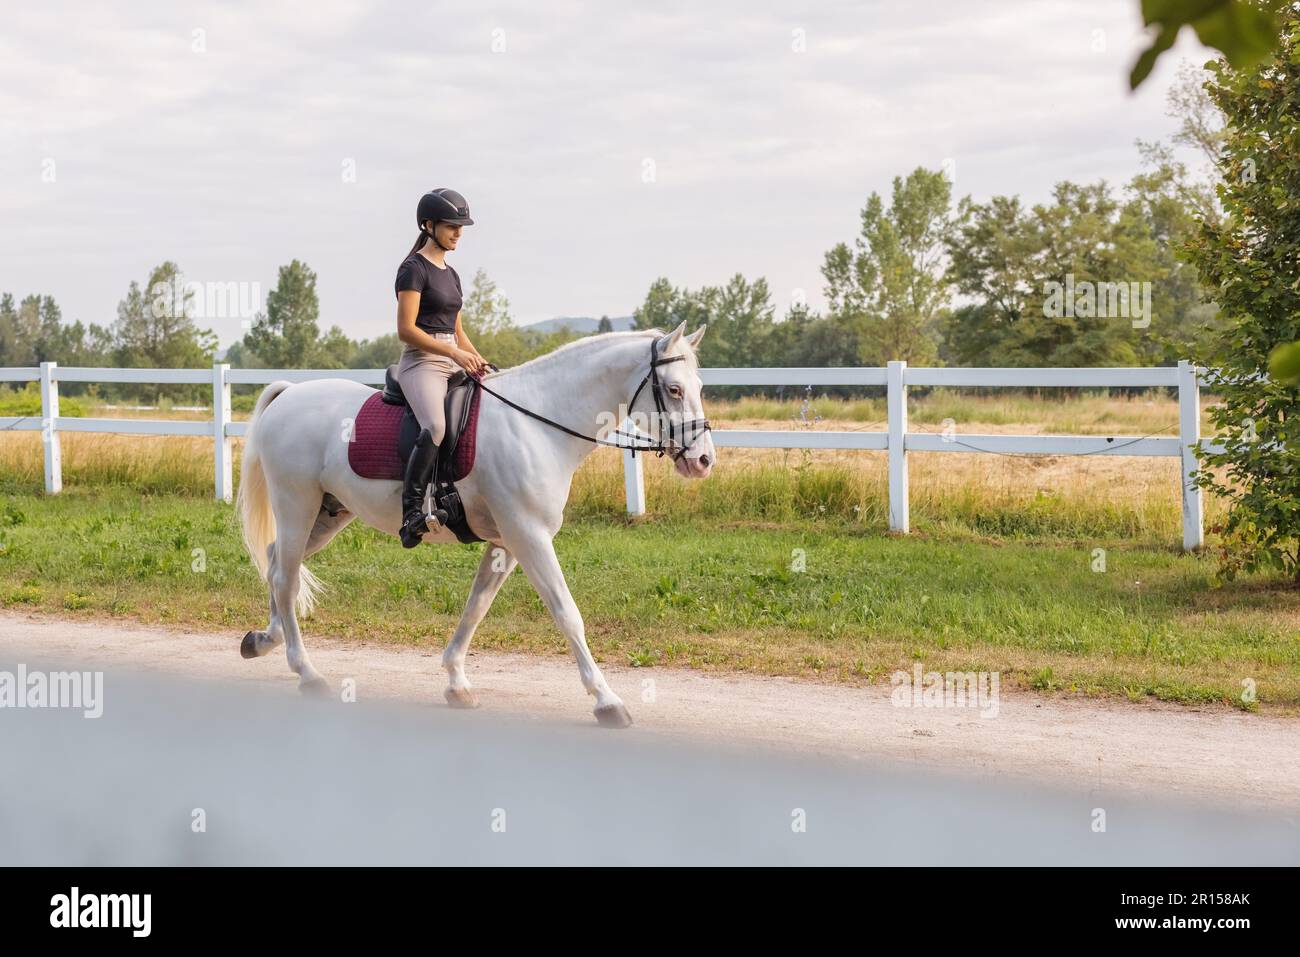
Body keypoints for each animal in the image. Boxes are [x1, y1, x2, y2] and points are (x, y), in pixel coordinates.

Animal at [235, 323, 715, 728]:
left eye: (698, 387)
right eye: (674, 389)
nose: (704, 460)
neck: (538, 424)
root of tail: (290, 393)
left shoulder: (507, 542)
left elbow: (476, 606)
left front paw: (456, 683)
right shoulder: (528, 535)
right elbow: (567, 613)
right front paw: (607, 701)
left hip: (327, 515)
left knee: (279, 566)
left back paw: (264, 639)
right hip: (296, 506)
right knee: (285, 577)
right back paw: (306, 671)